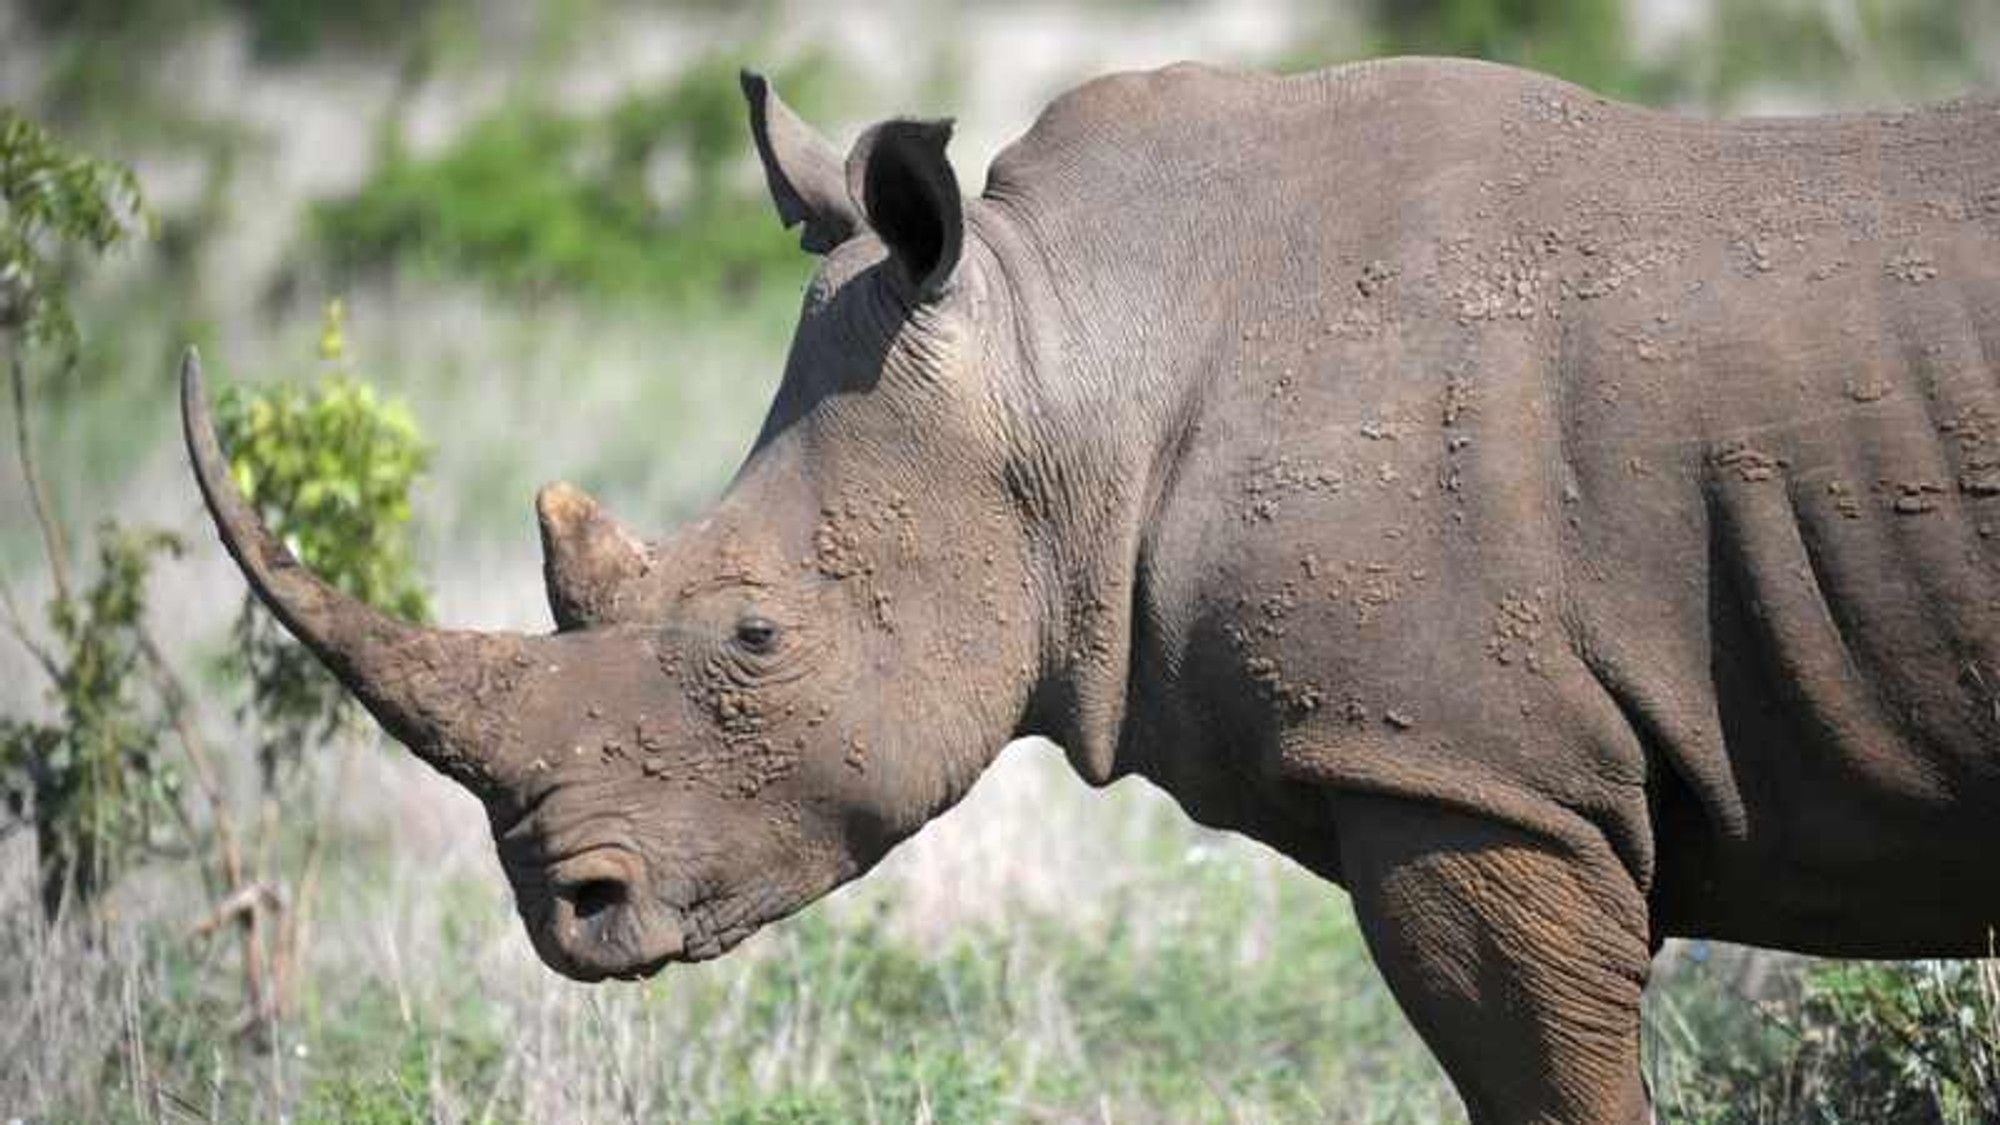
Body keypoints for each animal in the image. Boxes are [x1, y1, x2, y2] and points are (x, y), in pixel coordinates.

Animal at [183, 56, 2000, 1122]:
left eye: (757, 636)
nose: (568, 913)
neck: (1071, 350)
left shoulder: (1478, 776)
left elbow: (1551, 1083)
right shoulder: (1484, 771)